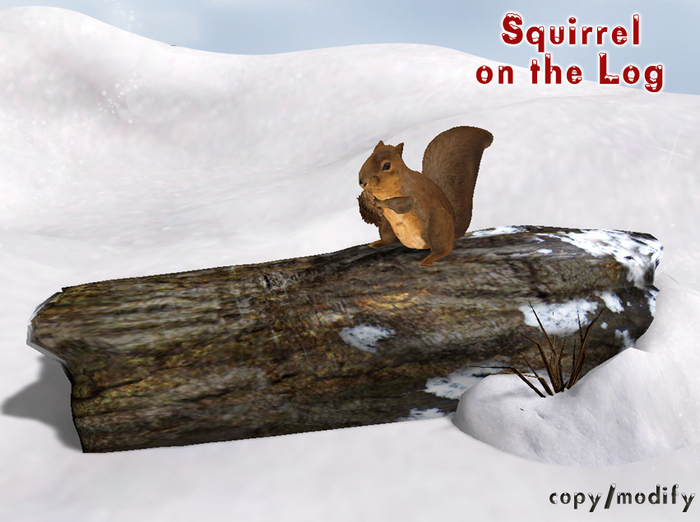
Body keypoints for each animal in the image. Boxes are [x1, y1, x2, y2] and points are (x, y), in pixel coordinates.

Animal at [358, 126, 493, 266]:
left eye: (387, 165)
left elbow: (400, 204)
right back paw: (376, 243)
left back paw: (428, 260)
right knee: (389, 239)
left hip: (438, 222)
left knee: (443, 249)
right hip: (386, 226)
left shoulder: (411, 195)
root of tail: (453, 232)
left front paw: (378, 202)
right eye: (368, 157)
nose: (362, 181)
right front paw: (365, 199)